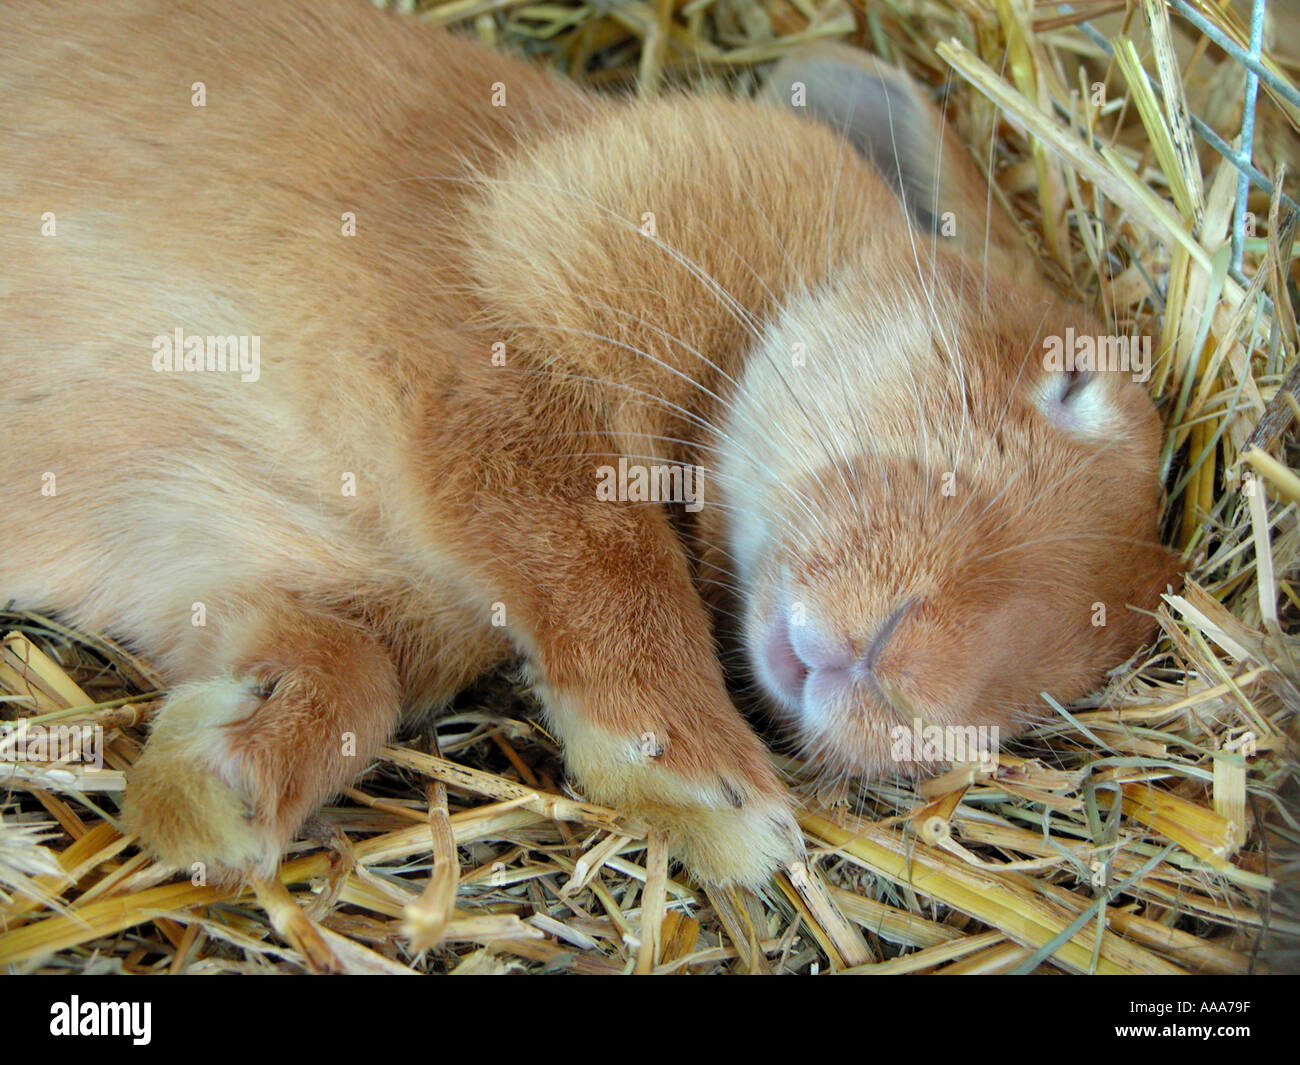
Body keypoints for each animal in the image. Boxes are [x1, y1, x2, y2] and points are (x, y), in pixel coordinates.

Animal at [0, 0, 1176, 887]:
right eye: (1067, 384)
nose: (903, 678)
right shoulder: (479, 353)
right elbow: (607, 556)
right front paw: (718, 800)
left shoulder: (272, 570)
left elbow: (344, 675)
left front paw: (214, 791)